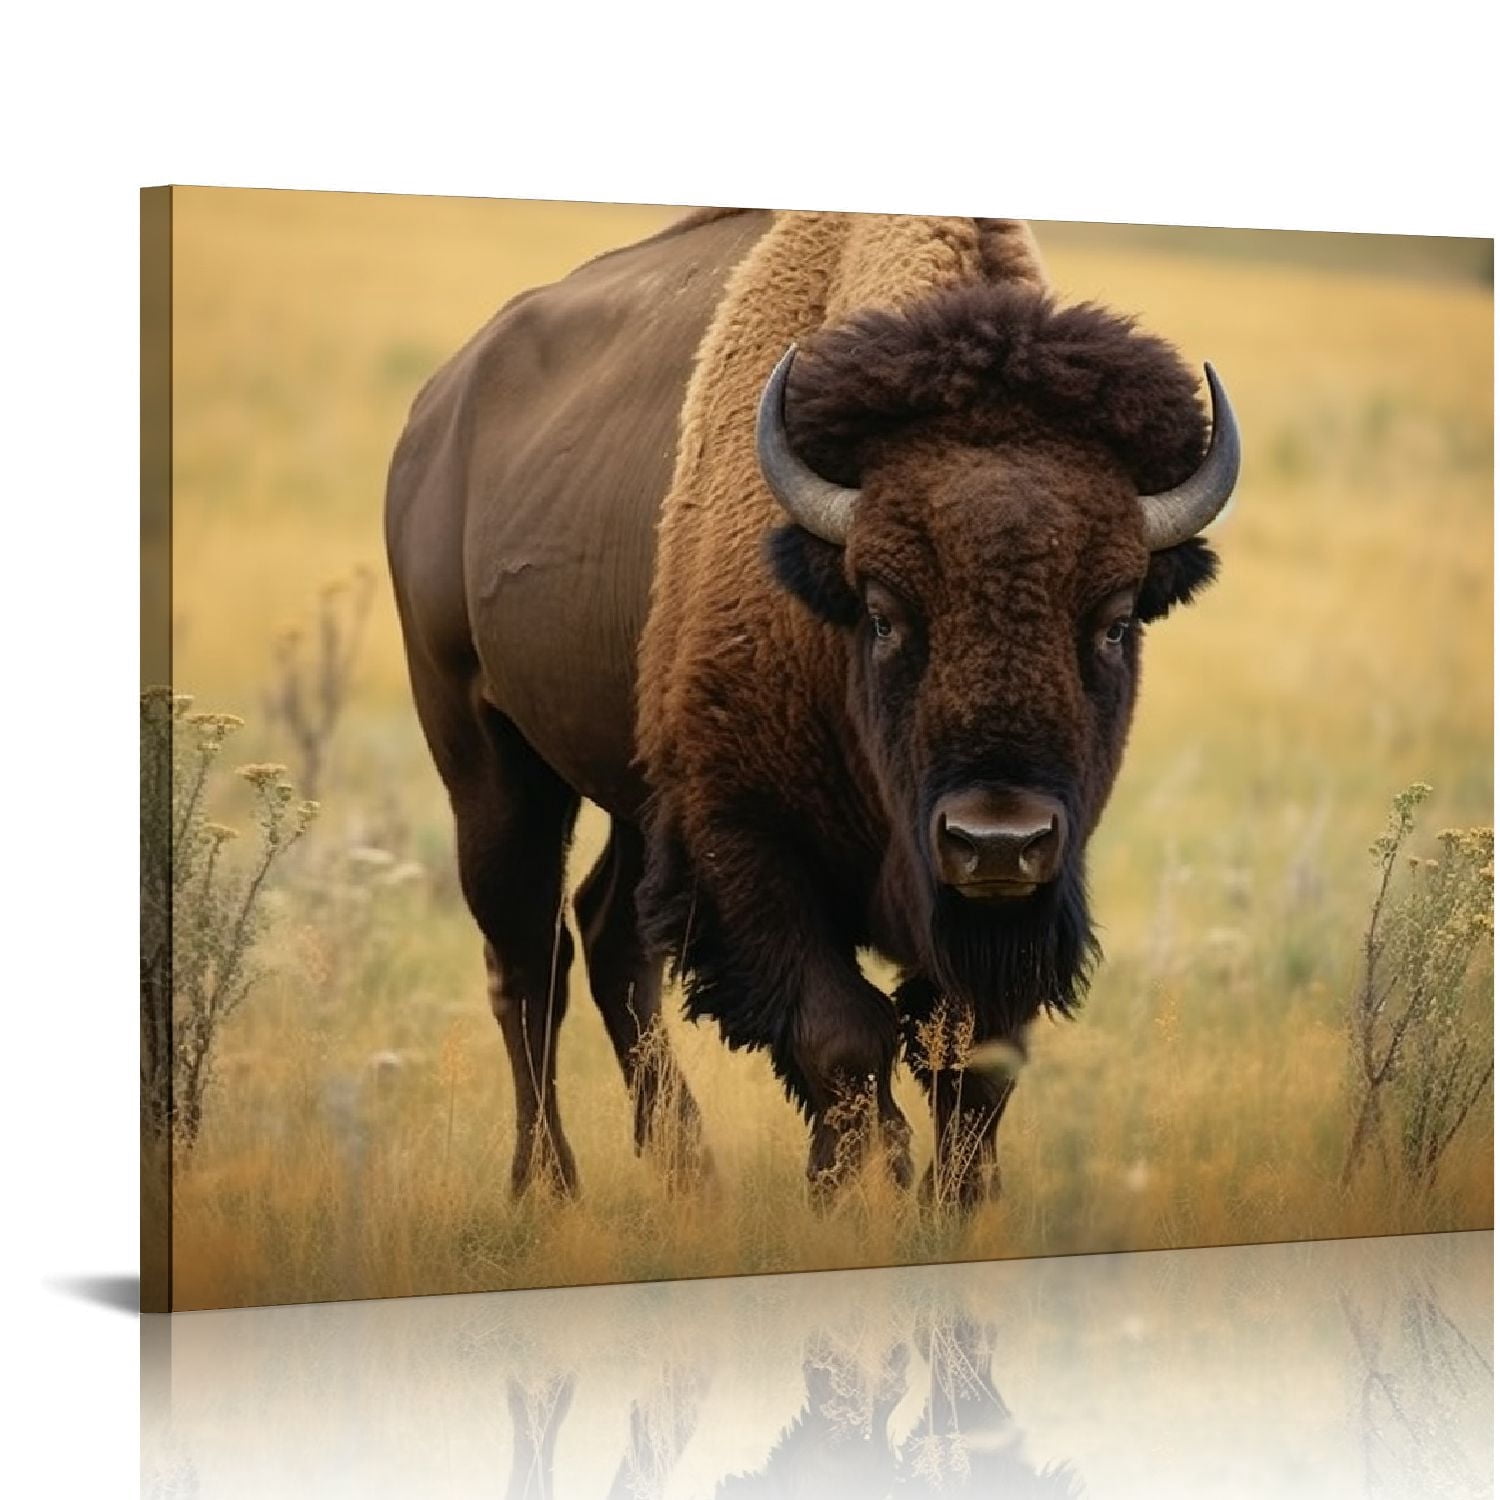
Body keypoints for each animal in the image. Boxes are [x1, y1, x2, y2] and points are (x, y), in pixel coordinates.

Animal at [385, 208, 1239, 1204]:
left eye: (1113, 619)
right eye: (884, 611)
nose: (997, 841)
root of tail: (436, 412)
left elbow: (970, 1060)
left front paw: (958, 1202)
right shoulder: (749, 842)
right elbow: (843, 1039)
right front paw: (868, 1184)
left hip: (637, 792)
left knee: (608, 938)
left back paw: (693, 1176)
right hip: (487, 757)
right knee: (529, 961)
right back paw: (549, 1189)